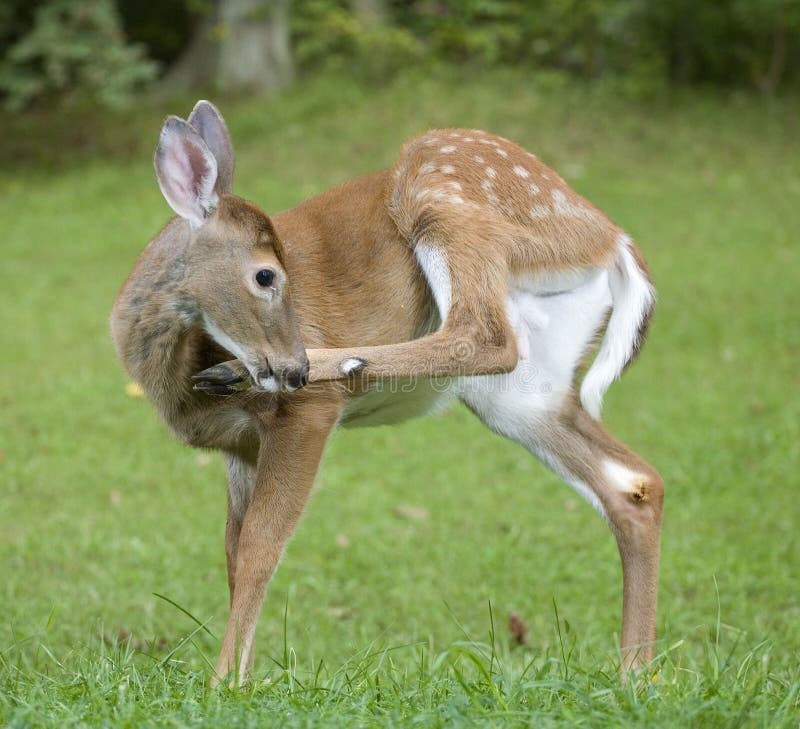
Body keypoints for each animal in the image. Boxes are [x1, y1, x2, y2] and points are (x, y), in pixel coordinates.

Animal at [111, 100, 664, 686]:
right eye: (264, 276)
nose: (293, 368)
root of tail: (614, 240)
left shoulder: (305, 416)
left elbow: (262, 545)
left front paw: (226, 682)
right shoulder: (237, 447)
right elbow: (234, 554)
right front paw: (244, 674)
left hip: (440, 180)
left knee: (485, 334)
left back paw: (304, 365)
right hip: (526, 391)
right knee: (634, 482)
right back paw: (635, 674)